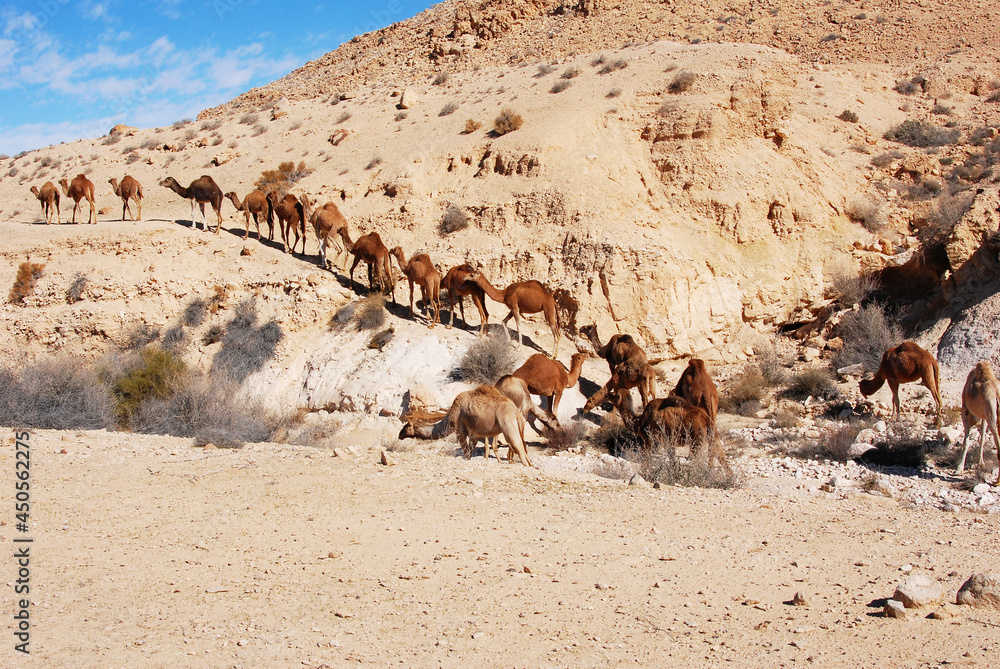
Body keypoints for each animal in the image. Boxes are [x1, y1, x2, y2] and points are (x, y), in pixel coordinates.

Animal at [398, 385, 533, 466]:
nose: (399, 435)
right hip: (518, 426)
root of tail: (515, 411)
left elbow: (466, 453)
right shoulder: (475, 435)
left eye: (405, 427)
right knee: (523, 446)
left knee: (518, 446)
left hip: (508, 425)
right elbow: (470, 453)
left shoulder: (460, 432)